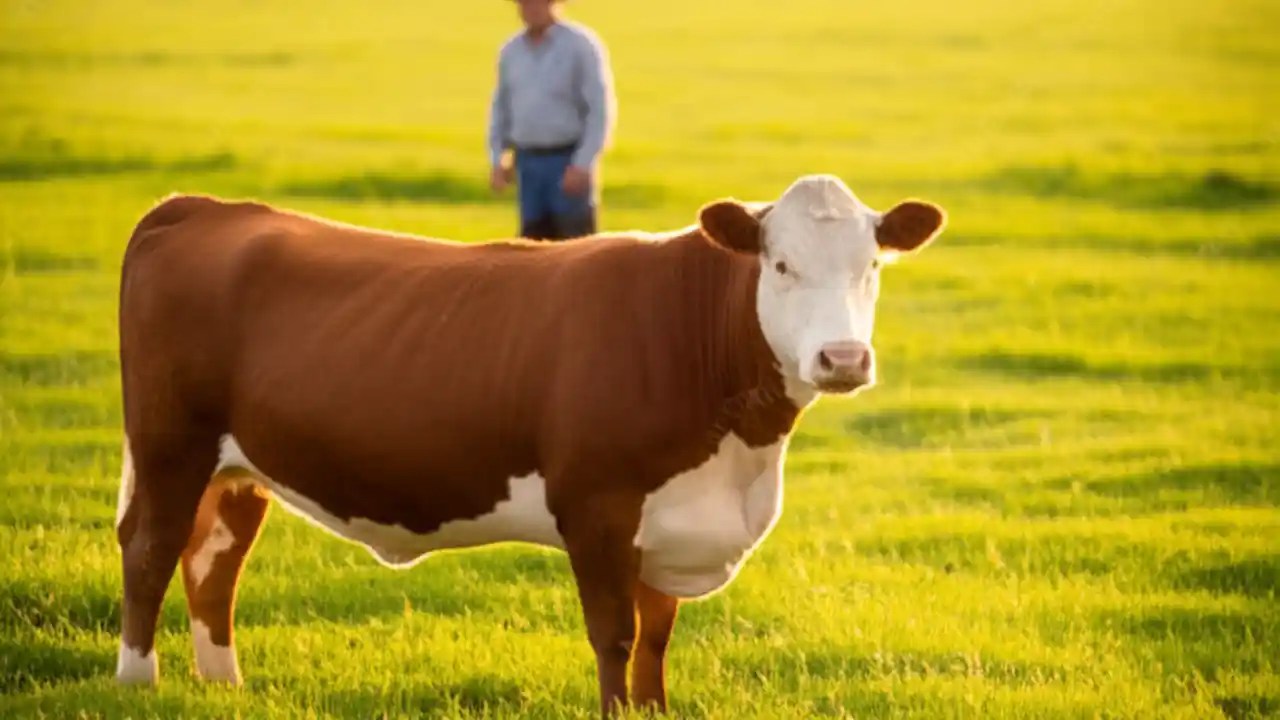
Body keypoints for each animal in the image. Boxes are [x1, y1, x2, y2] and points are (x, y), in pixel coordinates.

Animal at [113, 174, 945, 715]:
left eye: (872, 265)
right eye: (780, 264)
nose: (843, 359)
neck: (738, 460)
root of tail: (199, 207)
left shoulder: (668, 522)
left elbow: (655, 641)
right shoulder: (598, 509)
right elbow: (615, 637)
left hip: (237, 466)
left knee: (215, 560)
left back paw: (224, 685)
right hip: (170, 445)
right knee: (151, 548)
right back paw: (137, 682)